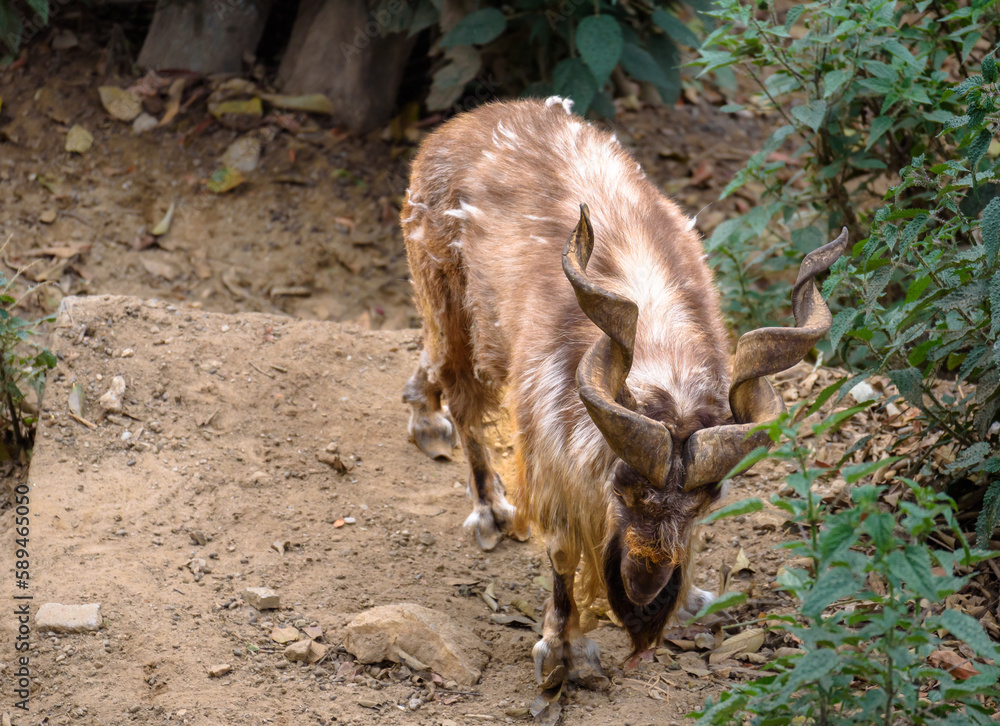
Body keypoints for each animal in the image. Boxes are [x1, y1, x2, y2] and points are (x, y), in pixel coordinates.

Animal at [401, 97, 847, 685]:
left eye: (707, 502)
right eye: (622, 488)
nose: (642, 594)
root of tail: (464, 123)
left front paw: (690, 601)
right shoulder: (553, 453)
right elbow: (562, 555)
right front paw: (563, 650)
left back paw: (421, 411)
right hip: (450, 303)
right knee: (462, 395)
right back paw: (487, 506)